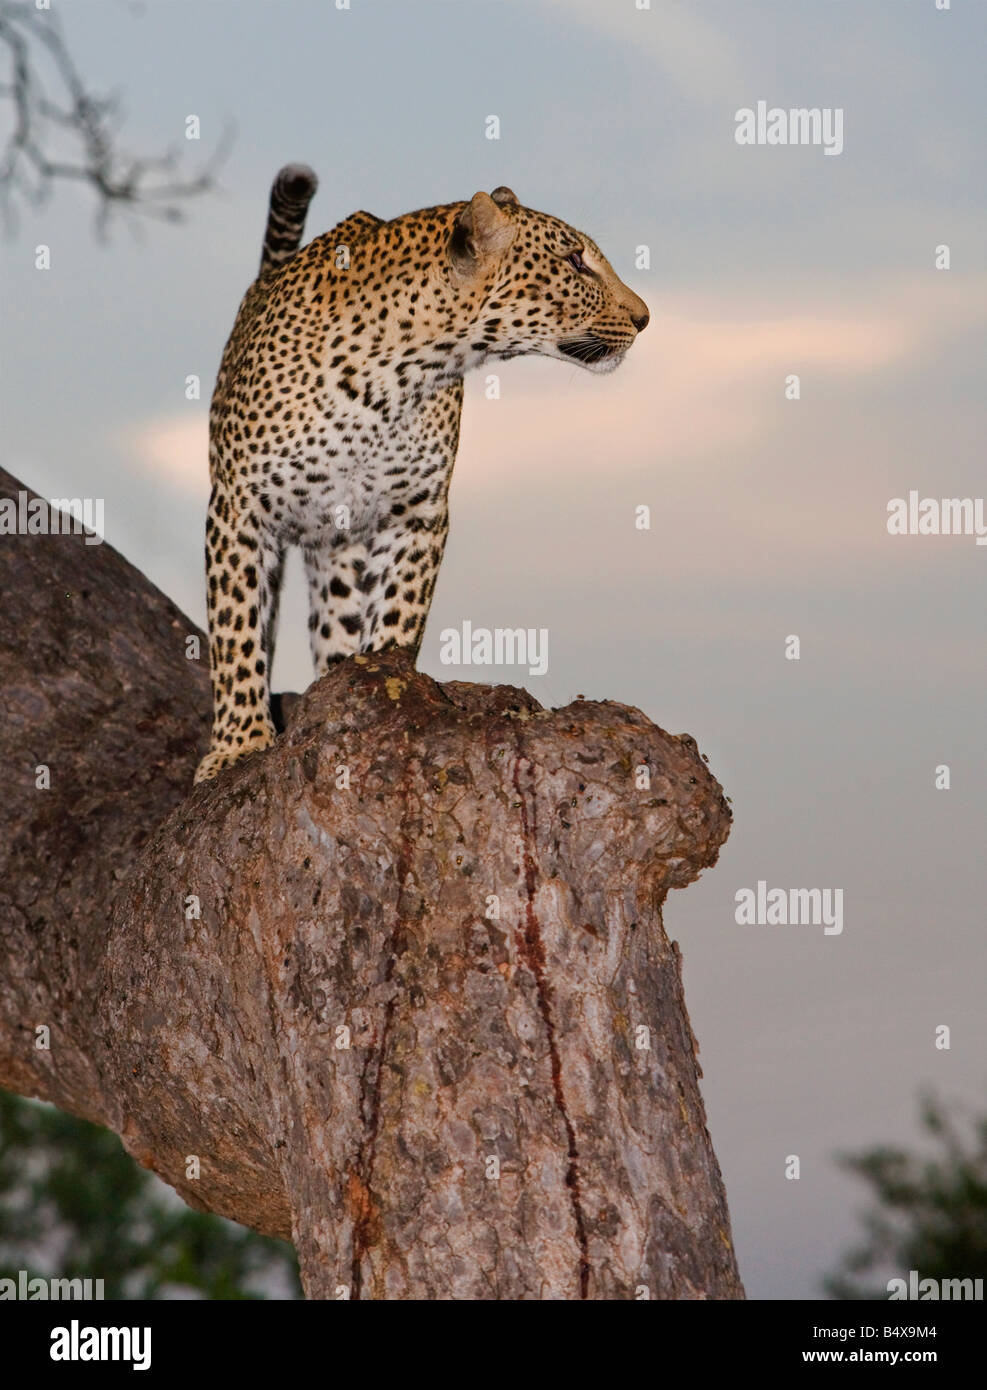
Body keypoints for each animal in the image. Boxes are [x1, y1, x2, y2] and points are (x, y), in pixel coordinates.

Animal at [194, 163, 649, 783]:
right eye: (576, 261)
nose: (645, 318)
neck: (398, 376)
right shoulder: (240, 507)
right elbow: (236, 629)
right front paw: (239, 744)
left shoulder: (417, 513)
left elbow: (396, 614)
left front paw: (383, 689)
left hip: (336, 550)